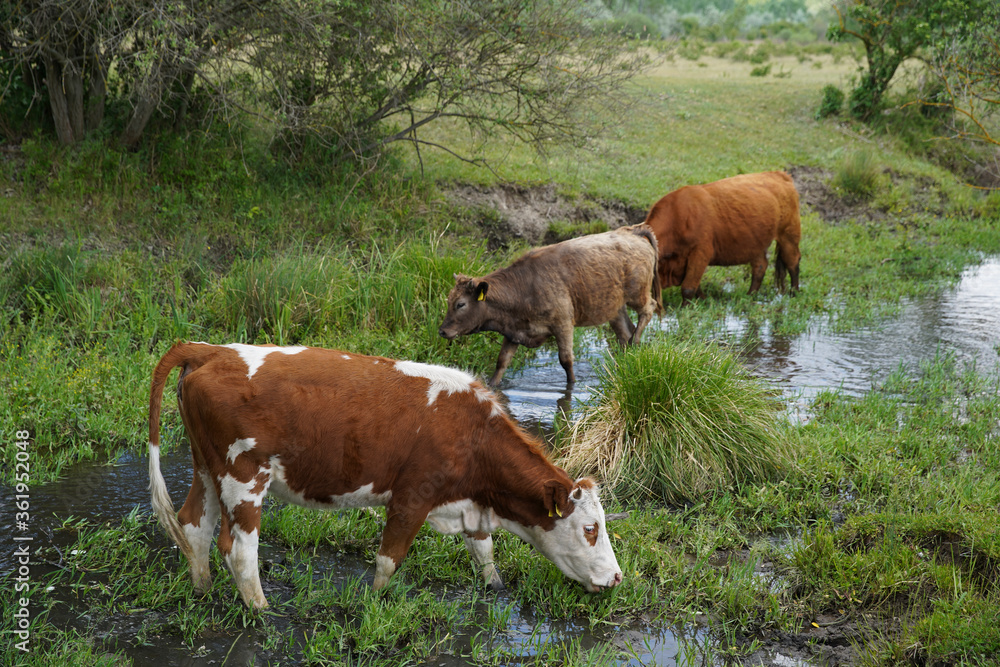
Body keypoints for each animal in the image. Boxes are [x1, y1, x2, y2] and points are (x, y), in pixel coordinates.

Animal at [148, 342, 622, 609]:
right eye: (591, 528)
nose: (617, 577)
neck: (473, 431)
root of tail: (210, 349)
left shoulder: (470, 504)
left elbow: (484, 551)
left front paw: (496, 588)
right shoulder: (412, 497)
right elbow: (388, 561)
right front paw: (376, 603)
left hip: (206, 466)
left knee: (194, 525)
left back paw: (203, 589)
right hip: (243, 476)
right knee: (239, 548)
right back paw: (261, 611)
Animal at [438, 224, 662, 387]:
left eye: (461, 304)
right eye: (448, 301)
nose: (442, 331)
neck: (525, 287)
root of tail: (631, 231)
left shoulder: (563, 324)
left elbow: (566, 360)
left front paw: (571, 386)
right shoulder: (514, 332)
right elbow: (501, 362)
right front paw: (492, 386)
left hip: (637, 294)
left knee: (648, 309)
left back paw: (635, 341)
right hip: (615, 308)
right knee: (625, 332)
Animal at [643, 171, 801, 306]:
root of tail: (779, 174)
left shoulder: (701, 252)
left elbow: (688, 287)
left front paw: (684, 309)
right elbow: (695, 284)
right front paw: (704, 300)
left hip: (789, 234)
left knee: (792, 262)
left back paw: (794, 293)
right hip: (756, 243)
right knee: (760, 266)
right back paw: (750, 295)